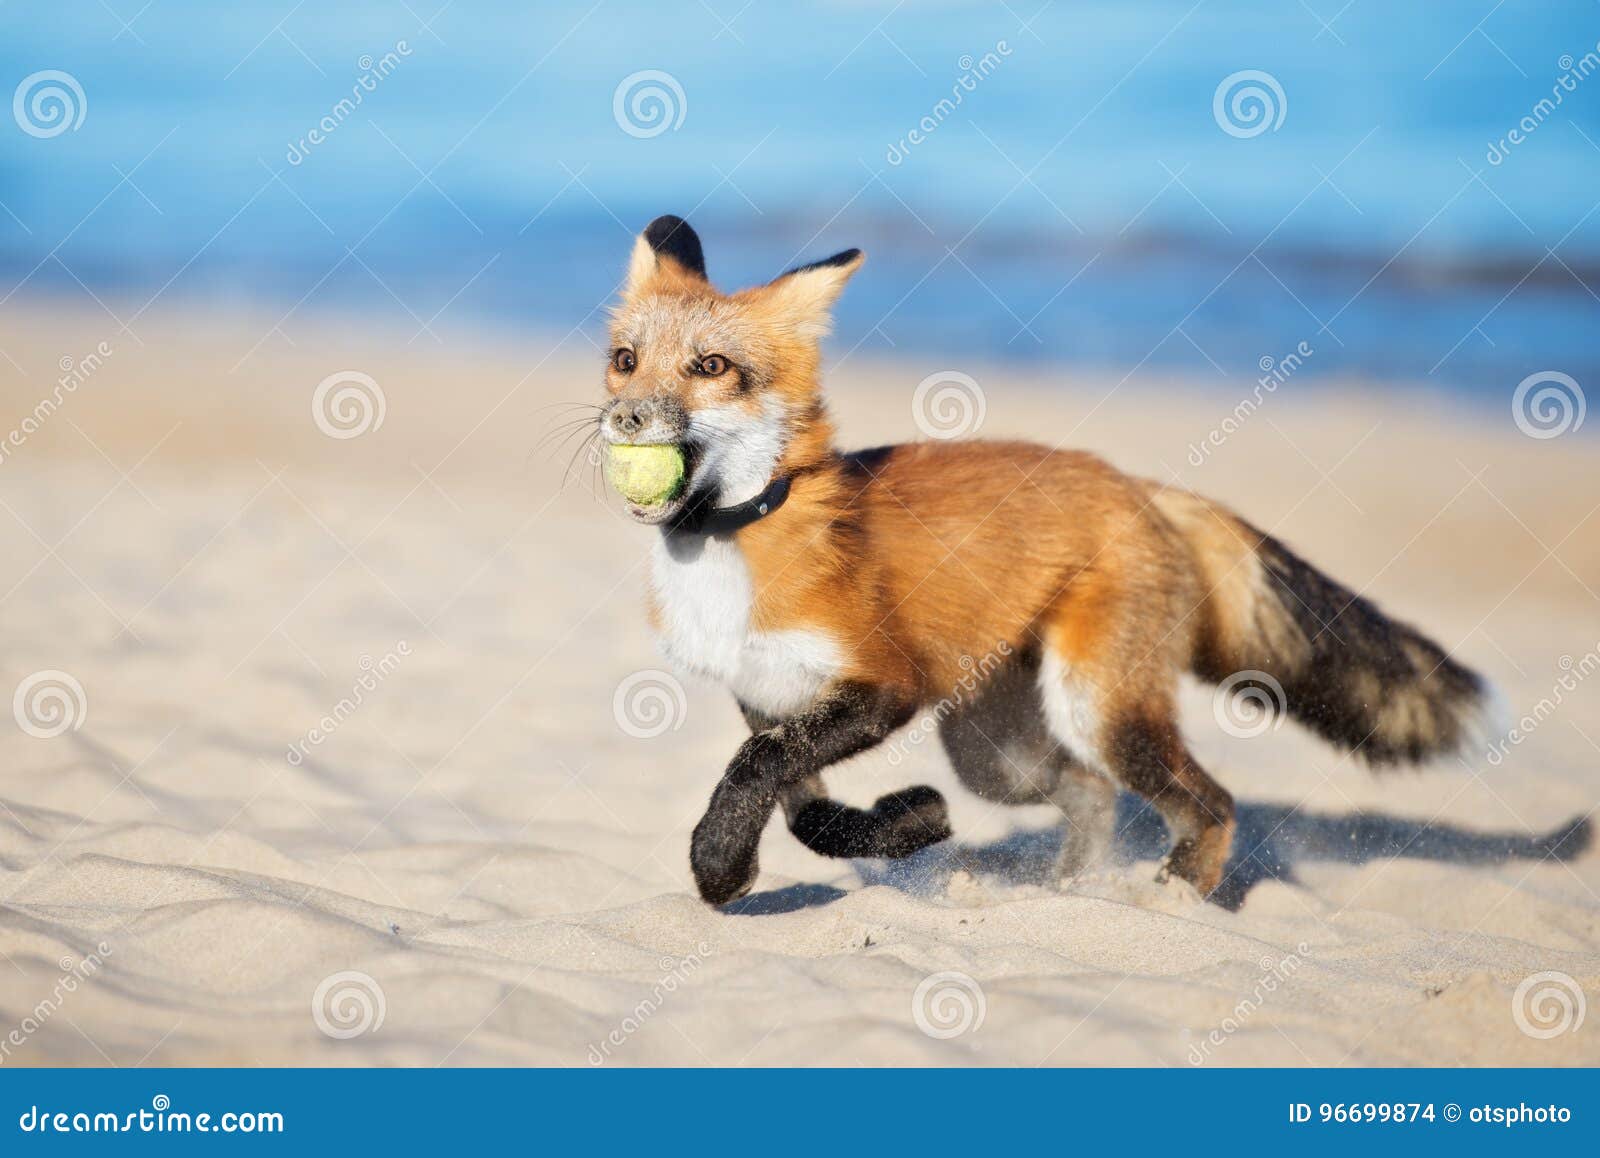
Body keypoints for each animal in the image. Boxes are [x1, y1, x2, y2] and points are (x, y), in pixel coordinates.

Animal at [595, 214, 1490, 907]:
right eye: (626, 360)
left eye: (712, 367)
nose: (626, 418)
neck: (733, 546)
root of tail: (1135, 484)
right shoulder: (771, 694)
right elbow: (802, 809)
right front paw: (887, 830)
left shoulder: (884, 685)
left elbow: (758, 769)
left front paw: (721, 859)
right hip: (995, 755)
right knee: (1091, 793)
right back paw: (1071, 893)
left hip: (1095, 710)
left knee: (1210, 802)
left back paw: (1172, 898)